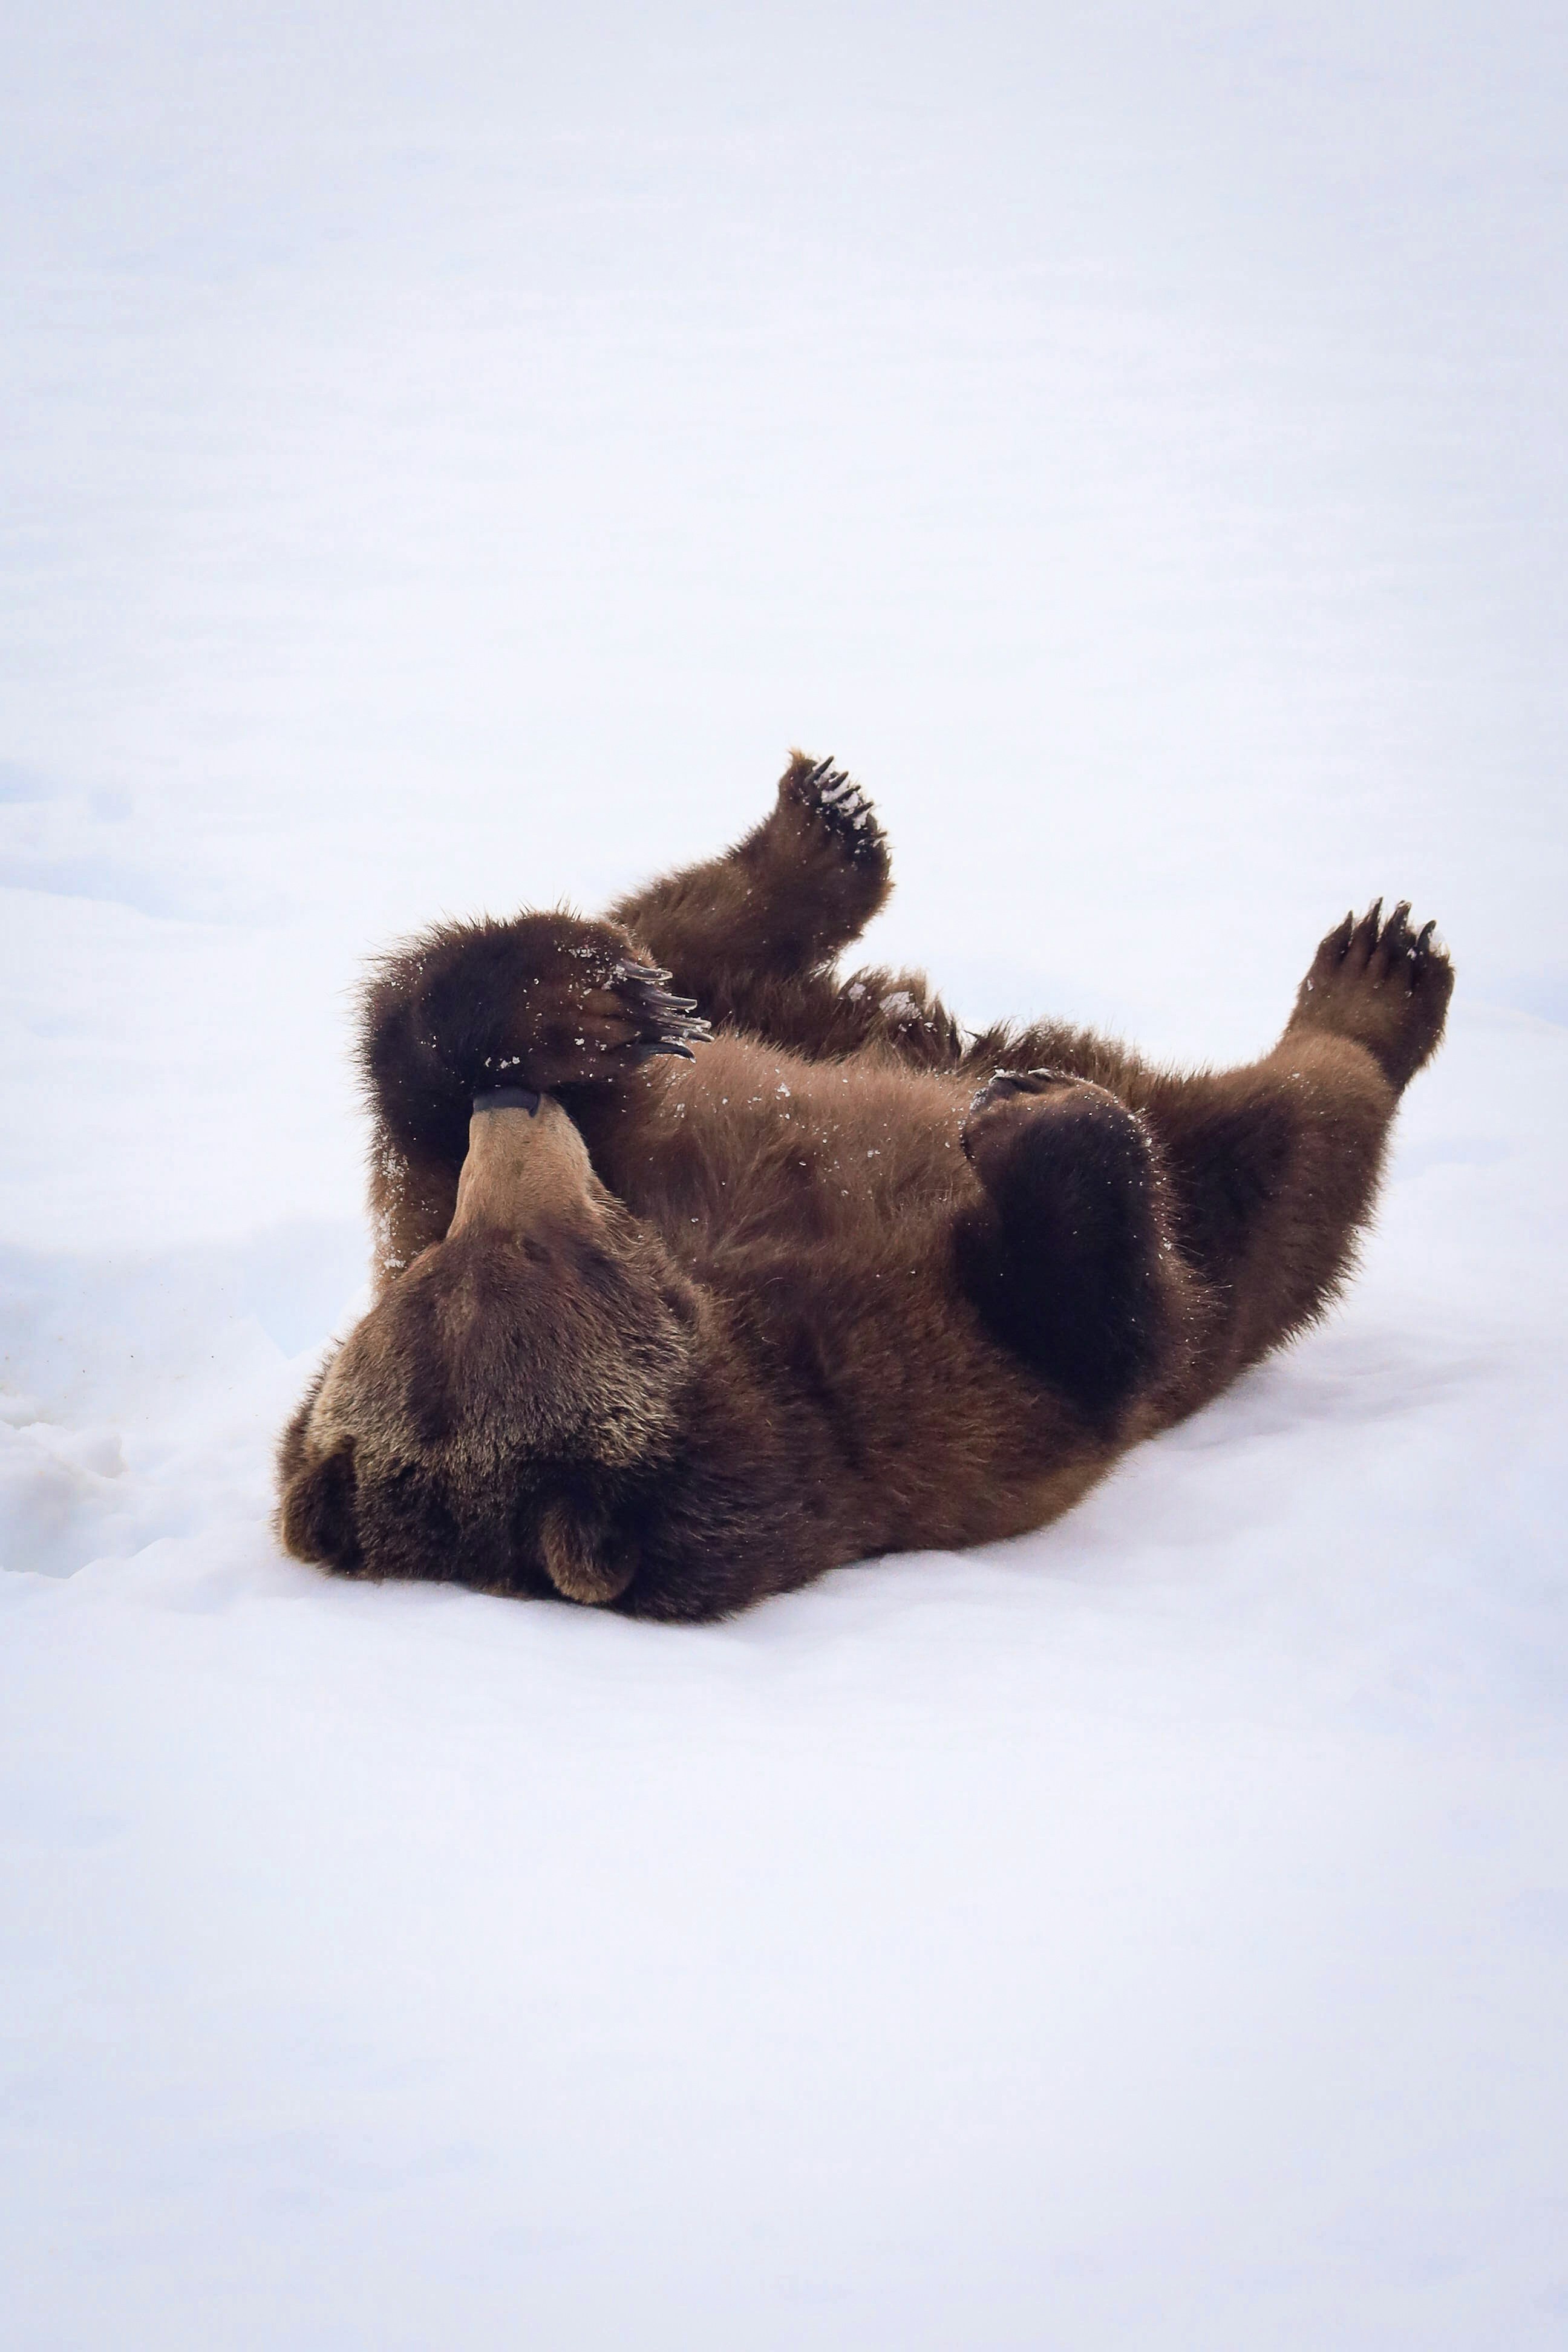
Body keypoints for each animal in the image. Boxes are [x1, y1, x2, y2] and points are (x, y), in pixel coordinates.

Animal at [276, 752, 1453, 1620]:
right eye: (529, 1251)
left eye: (430, 1272)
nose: (513, 1112)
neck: (719, 1299)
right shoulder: (920, 1398)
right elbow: (1098, 1321)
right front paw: (1025, 1119)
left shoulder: (576, 1160)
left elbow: (415, 1041)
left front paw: (578, 1011)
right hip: (1223, 1195)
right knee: (1293, 1157)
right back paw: (1373, 979)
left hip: (753, 1009)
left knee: (674, 928)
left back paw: (817, 834)